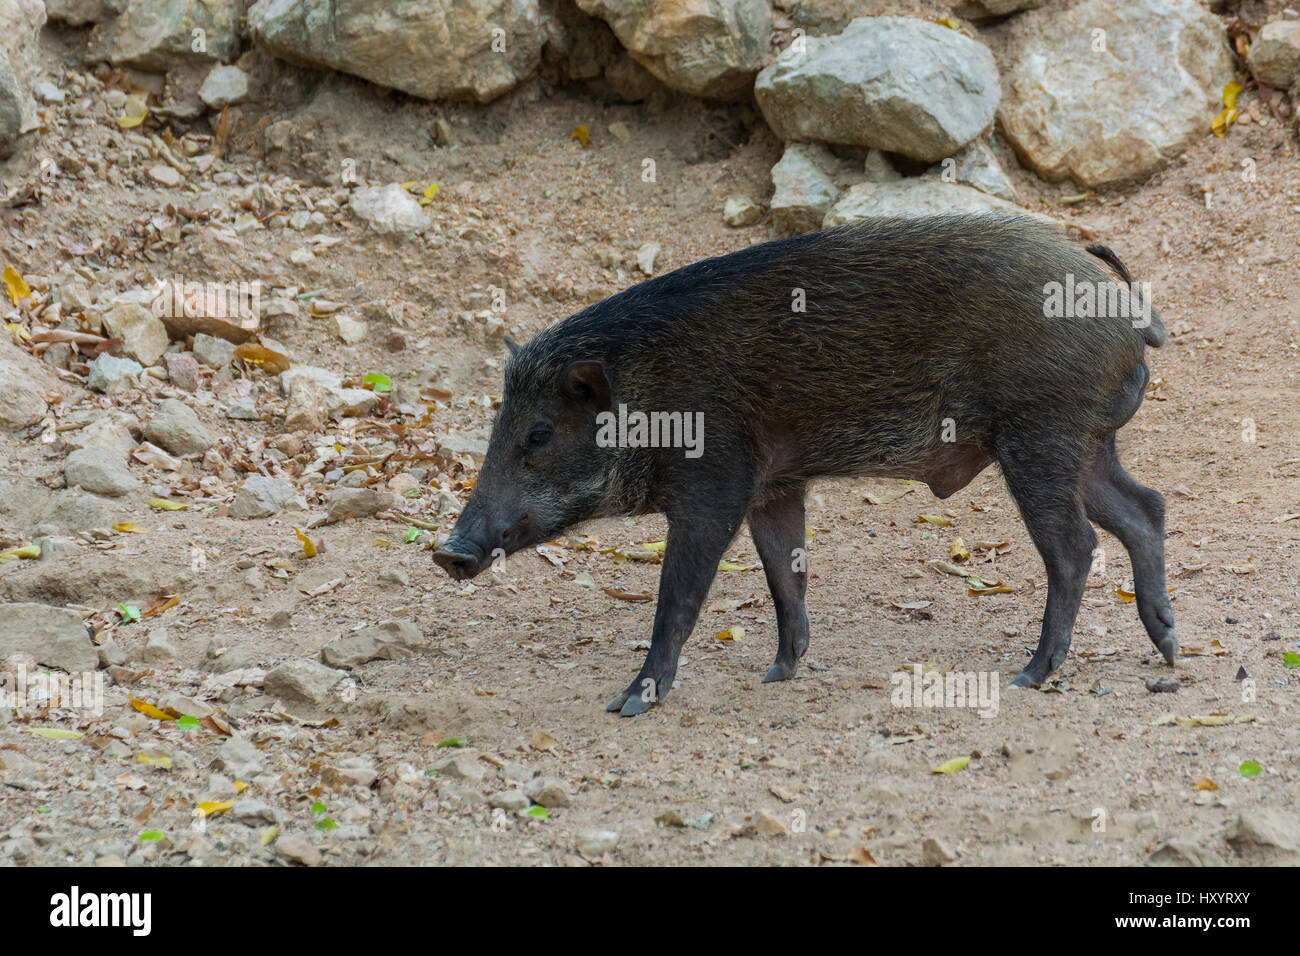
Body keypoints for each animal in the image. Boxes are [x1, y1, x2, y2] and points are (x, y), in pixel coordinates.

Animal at [434, 215, 1175, 716]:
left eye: (537, 434)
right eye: (496, 428)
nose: (448, 552)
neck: (651, 394)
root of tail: (1124, 309)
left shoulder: (717, 483)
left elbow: (680, 596)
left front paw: (630, 704)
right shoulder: (775, 485)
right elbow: (783, 574)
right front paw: (778, 675)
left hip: (1040, 434)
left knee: (1076, 545)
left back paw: (1031, 675)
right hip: (1087, 444)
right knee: (1146, 508)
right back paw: (1168, 649)